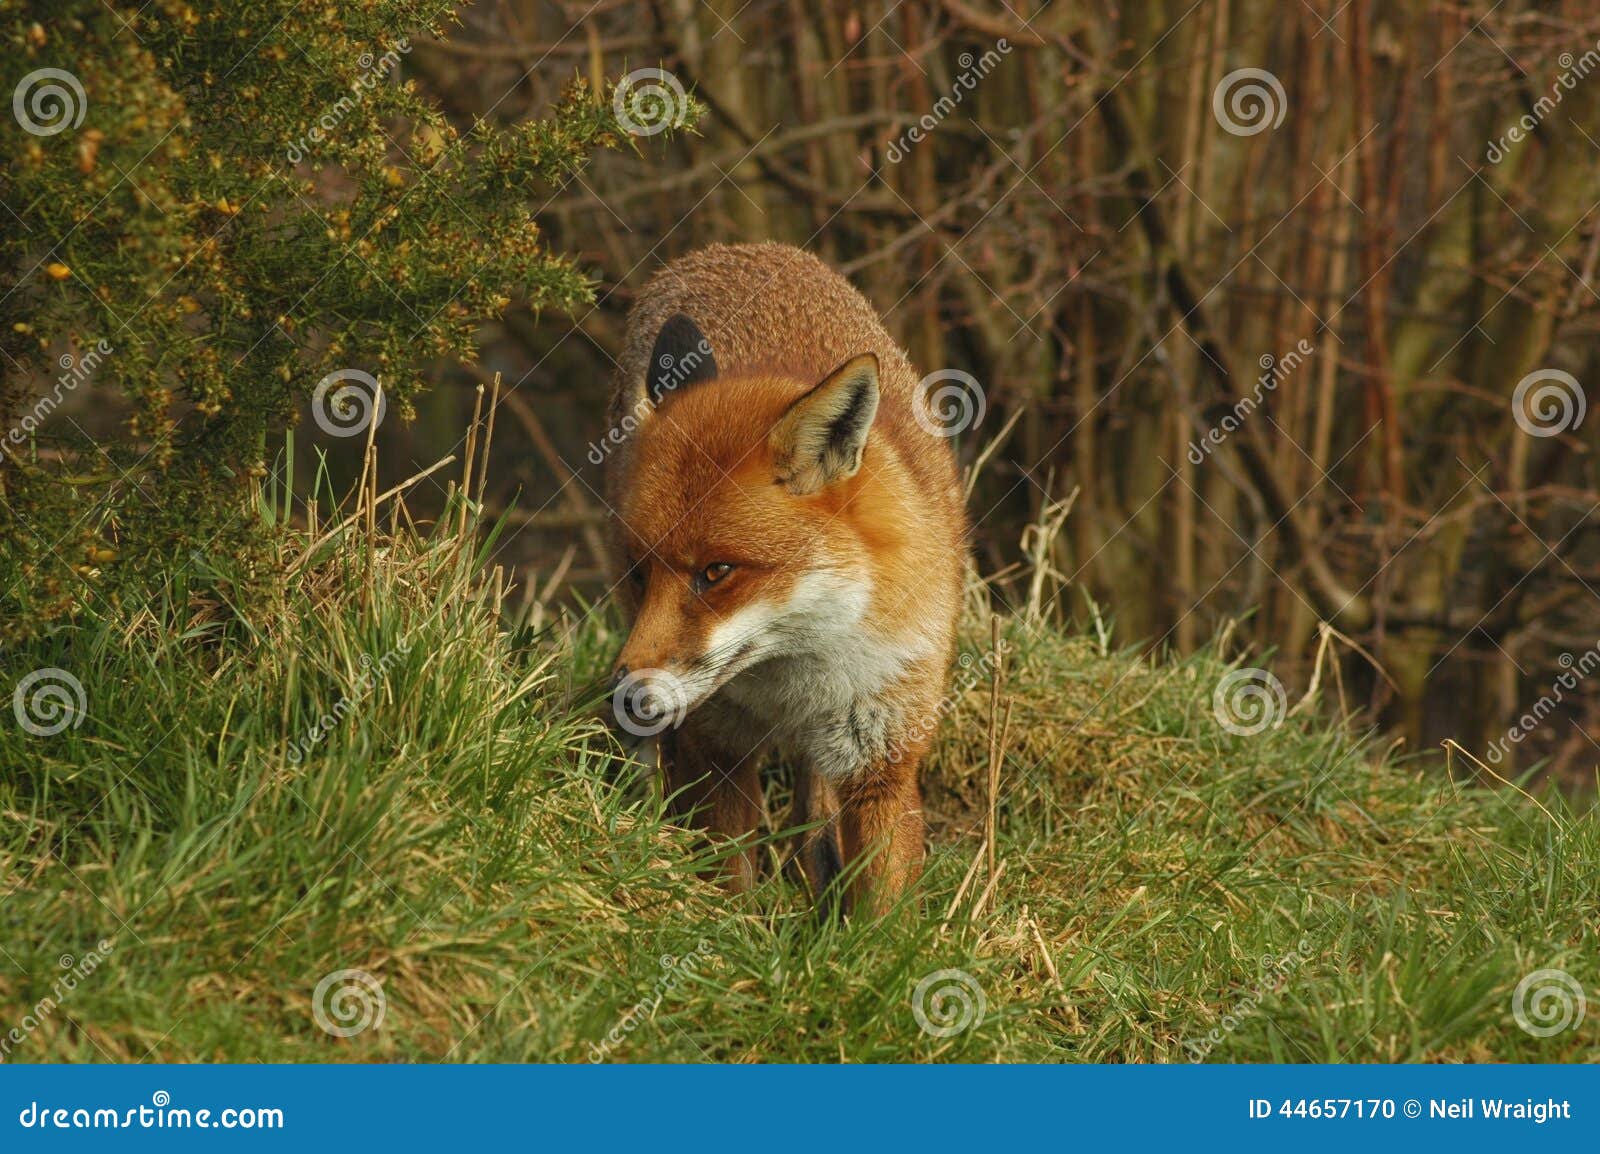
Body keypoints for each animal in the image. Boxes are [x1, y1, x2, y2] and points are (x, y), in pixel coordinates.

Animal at [602, 242, 967, 917]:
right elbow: (731, 877)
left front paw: (865, 942)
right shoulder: (715, 743)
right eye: (641, 574)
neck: (794, 677)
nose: (628, 699)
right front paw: (731, 932)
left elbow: (884, 905)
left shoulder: (882, 754)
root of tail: (737, 250)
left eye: (717, 572)